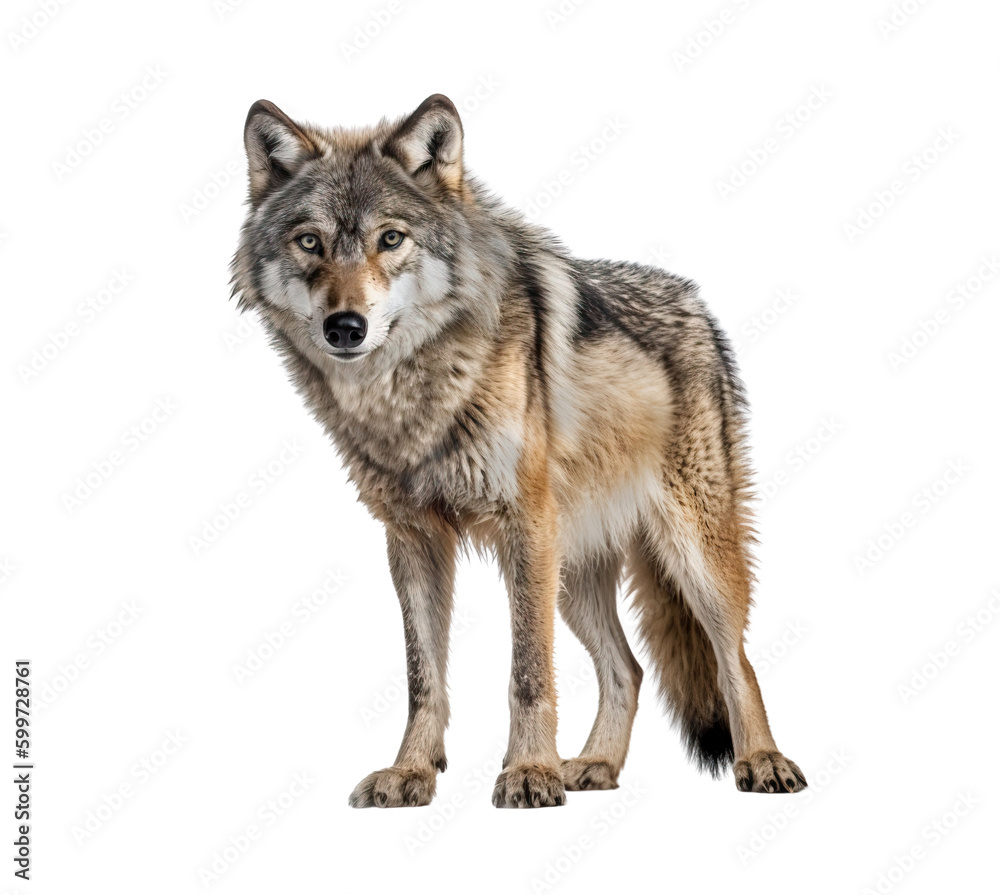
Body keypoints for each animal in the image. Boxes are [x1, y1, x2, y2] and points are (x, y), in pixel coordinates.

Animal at [231, 94, 807, 808]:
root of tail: (697, 304)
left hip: (687, 554)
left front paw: (529, 770)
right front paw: (412, 773)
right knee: (629, 668)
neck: (413, 395)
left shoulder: (523, 524)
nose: (345, 327)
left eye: (390, 239)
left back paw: (762, 761)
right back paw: (594, 764)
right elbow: (423, 679)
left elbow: (529, 671)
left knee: (738, 660)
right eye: (309, 241)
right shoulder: (413, 538)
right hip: (572, 572)